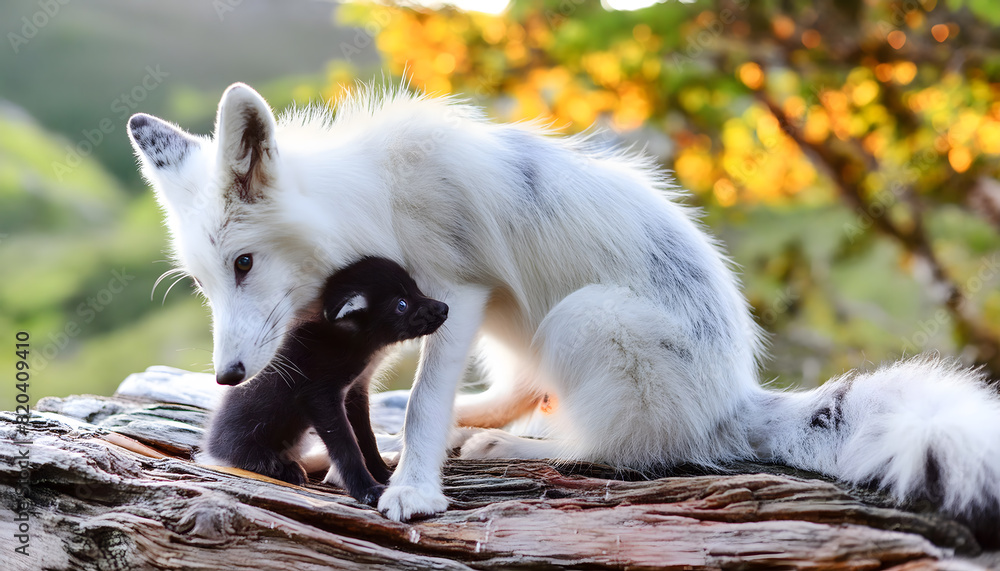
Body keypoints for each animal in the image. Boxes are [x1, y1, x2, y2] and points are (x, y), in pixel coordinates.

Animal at [198, 257, 448, 505]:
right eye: (401, 305)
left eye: (416, 288)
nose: (444, 308)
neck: (347, 342)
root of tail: (211, 446)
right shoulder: (319, 396)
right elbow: (346, 446)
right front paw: (366, 489)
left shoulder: (354, 392)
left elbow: (366, 437)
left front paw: (385, 475)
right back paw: (287, 469)